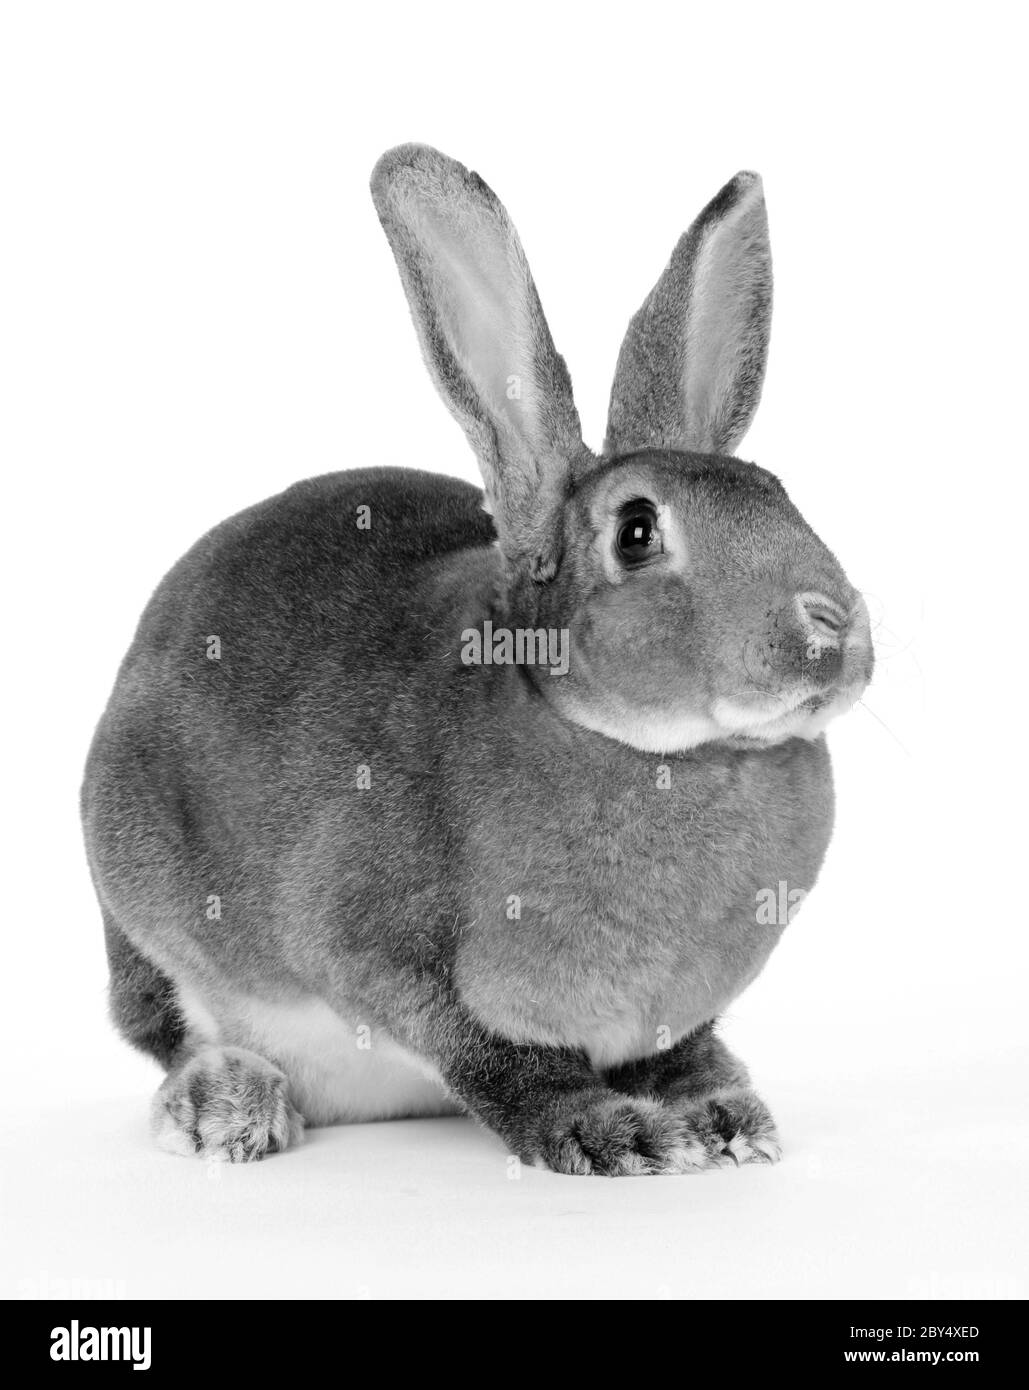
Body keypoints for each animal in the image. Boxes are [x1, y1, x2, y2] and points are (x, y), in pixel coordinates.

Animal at [81, 143, 873, 1175]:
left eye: (779, 493)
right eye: (637, 531)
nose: (835, 632)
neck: (643, 746)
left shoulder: (675, 1011)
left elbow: (681, 1051)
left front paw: (723, 1115)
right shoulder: (373, 946)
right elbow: (488, 1051)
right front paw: (606, 1131)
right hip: (137, 893)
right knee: (168, 1031)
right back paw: (228, 1103)